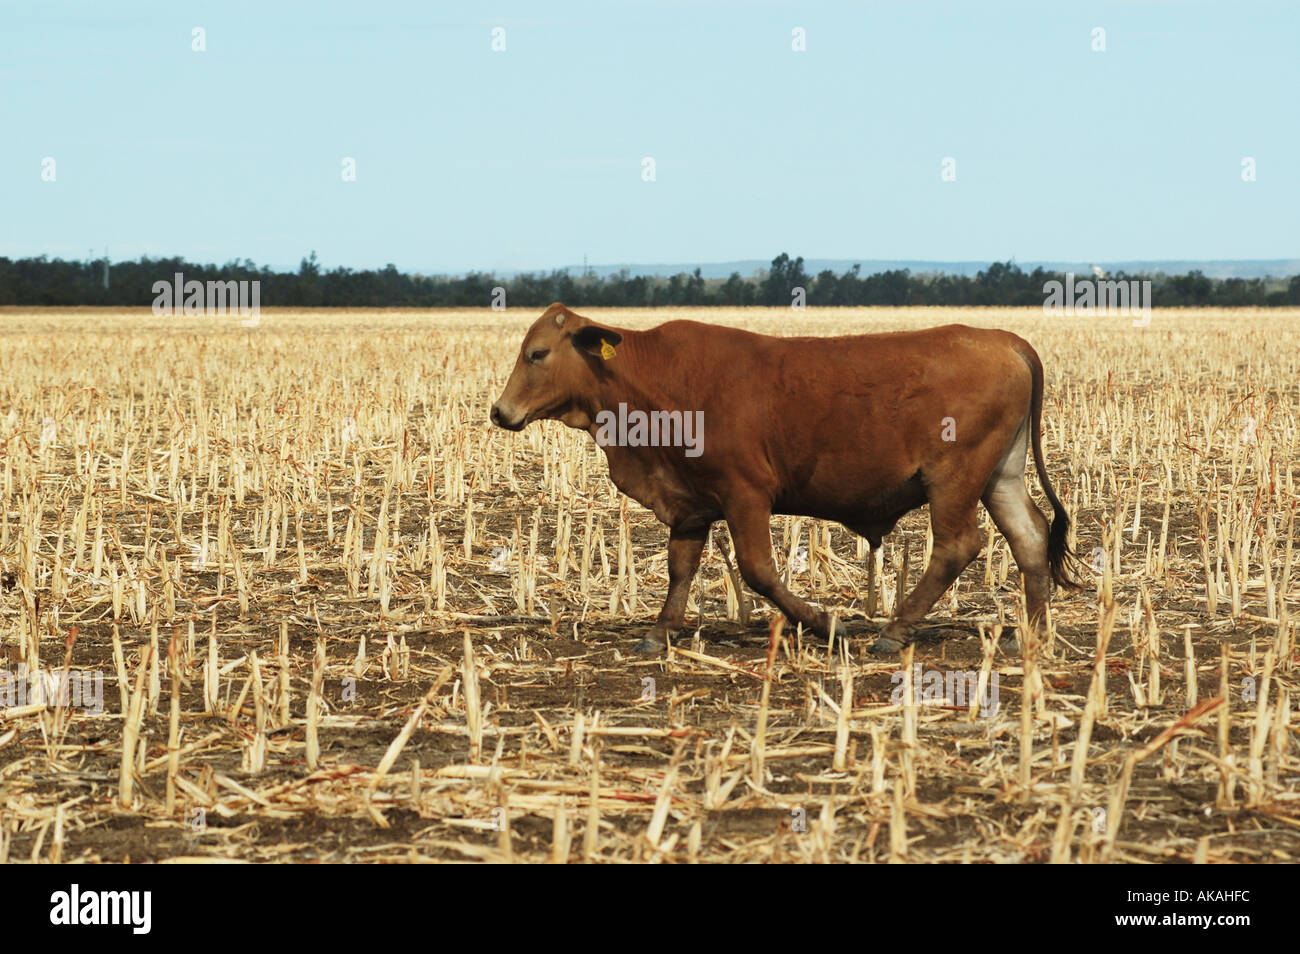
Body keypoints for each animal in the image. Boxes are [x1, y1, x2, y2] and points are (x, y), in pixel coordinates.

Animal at [490, 303, 1079, 654]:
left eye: (537, 353)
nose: (500, 412)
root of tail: (1004, 339)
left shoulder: (745, 493)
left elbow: (758, 572)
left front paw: (828, 624)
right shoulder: (690, 503)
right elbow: (680, 568)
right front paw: (660, 631)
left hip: (955, 480)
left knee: (958, 546)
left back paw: (895, 630)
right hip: (1000, 476)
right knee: (1029, 537)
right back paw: (1033, 634)